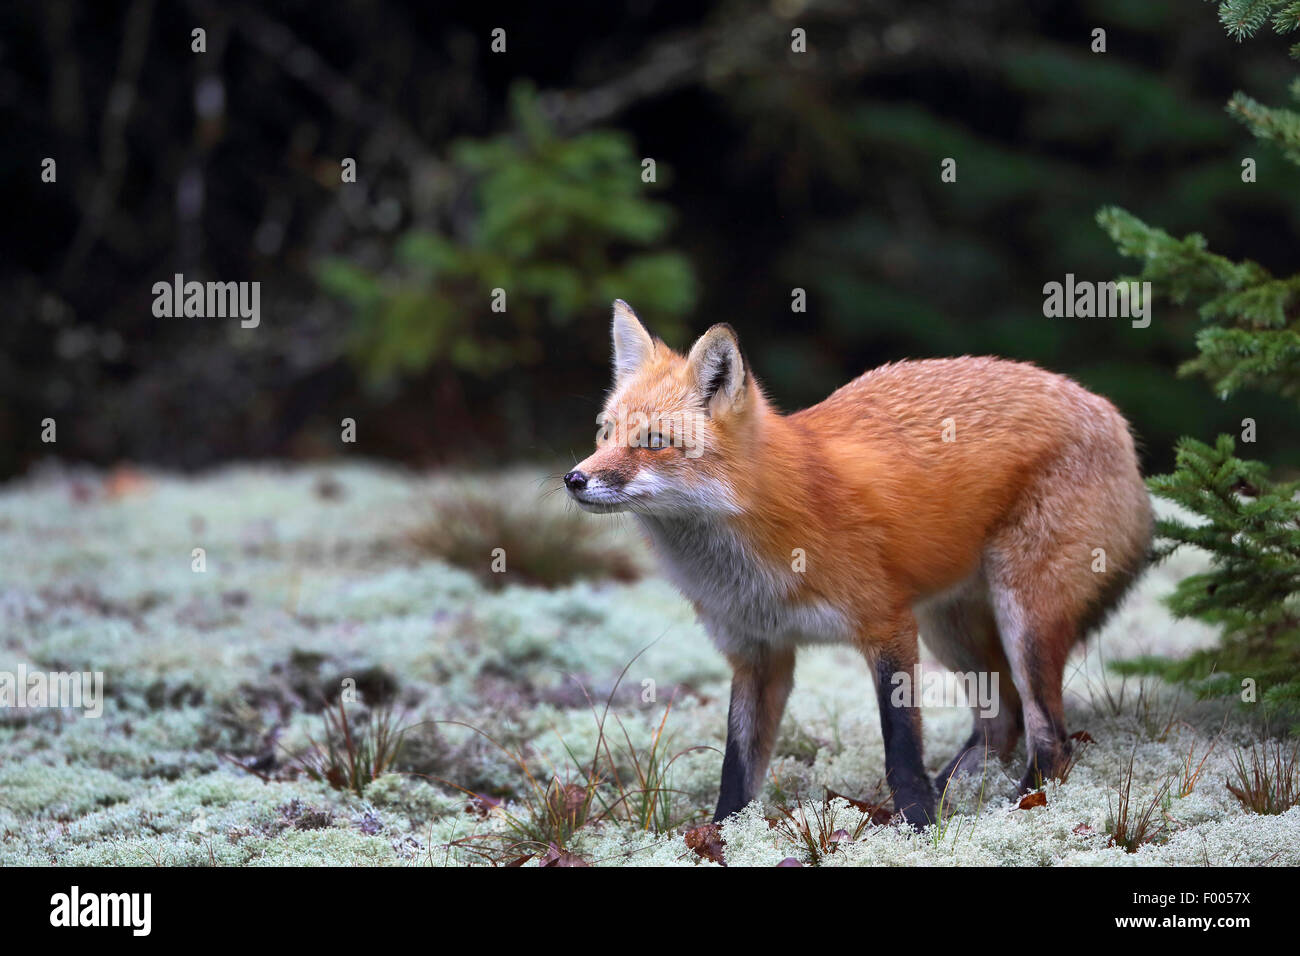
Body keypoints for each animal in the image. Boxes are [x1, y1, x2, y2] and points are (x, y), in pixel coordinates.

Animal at [565, 300, 1153, 827]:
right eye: (605, 433)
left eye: (653, 442)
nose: (574, 479)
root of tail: (1111, 415)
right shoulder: (757, 652)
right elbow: (737, 767)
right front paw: (720, 836)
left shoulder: (887, 626)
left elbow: (901, 750)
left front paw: (920, 826)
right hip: (950, 629)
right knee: (1002, 723)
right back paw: (961, 790)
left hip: (1021, 620)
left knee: (1051, 739)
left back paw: (1019, 808)